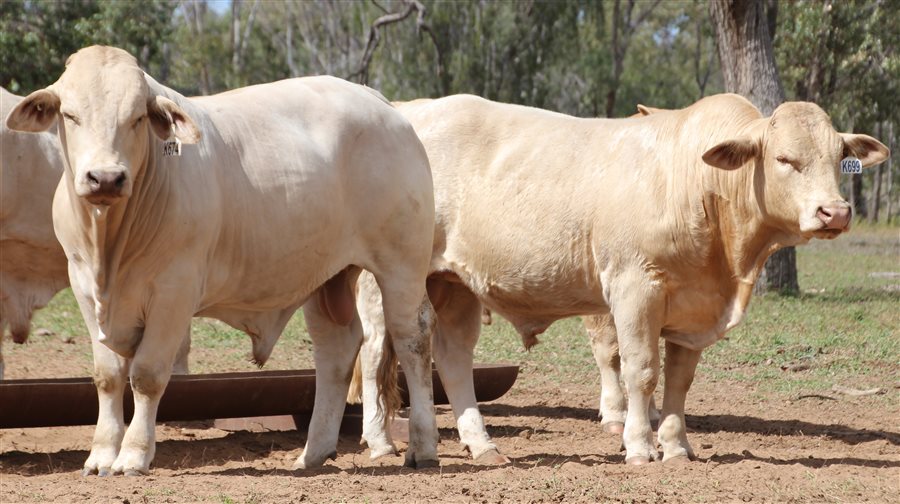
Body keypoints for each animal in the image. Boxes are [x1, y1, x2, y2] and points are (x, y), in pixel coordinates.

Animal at [6, 45, 439, 475]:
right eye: (70, 115)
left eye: (137, 117)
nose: (106, 178)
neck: (109, 244)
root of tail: (378, 101)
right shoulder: (84, 288)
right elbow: (108, 376)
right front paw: (100, 456)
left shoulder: (174, 292)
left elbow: (146, 376)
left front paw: (133, 455)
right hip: (325, 276)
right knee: (336, 350)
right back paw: (312, 453)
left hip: (402, 264)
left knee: (412, 339)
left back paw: (422, 447)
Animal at [353, 93, 889, 465]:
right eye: (783, 159)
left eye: (839, 157)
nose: (835, 212)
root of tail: (406, 108)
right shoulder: (636, 287)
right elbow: (642, 371)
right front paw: (639, 446)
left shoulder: (693, 304)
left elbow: (679, 379)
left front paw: (676, 447)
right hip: (390, 281)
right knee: (387, 349)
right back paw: (391, 443)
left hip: (457, 283)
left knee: (452, 356)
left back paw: (481, 445)